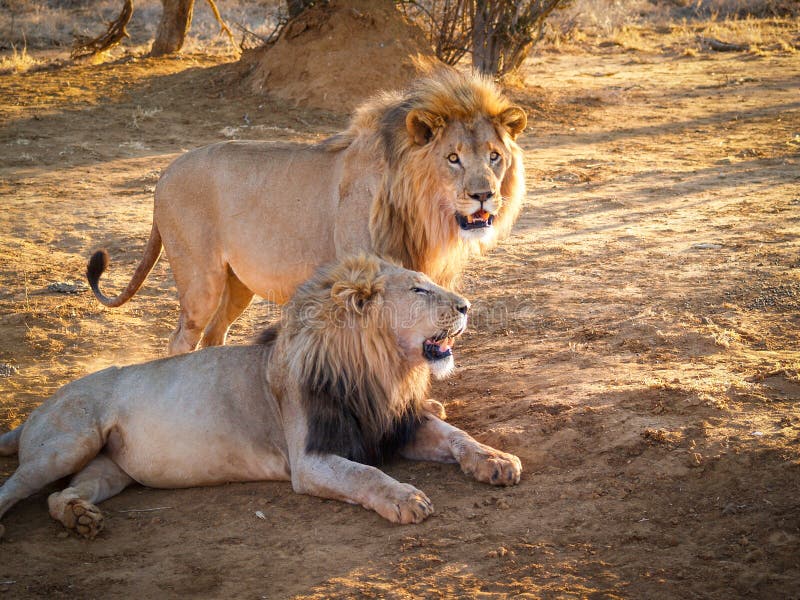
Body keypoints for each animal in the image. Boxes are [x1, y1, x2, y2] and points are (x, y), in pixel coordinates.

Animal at [0, 255, 522, 539]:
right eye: (419, 289)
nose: (466, 306)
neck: (379, 370)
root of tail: (37, 409)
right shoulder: (310, 458)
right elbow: (365, 474)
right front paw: (405, 497)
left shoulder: (395, 425)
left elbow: (456, 435)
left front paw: (496, 459)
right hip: (69, 442)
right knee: (15, 486)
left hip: (110, 469)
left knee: (62, 494)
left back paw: (80, 518)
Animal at [87, 66, 527, 355]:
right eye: (453, 158)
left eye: (494, 156)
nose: (484, 195)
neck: (423, 214)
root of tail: (164, 173)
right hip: (201, 281)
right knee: (181, 339)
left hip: (237, 285)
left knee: (214, 336)